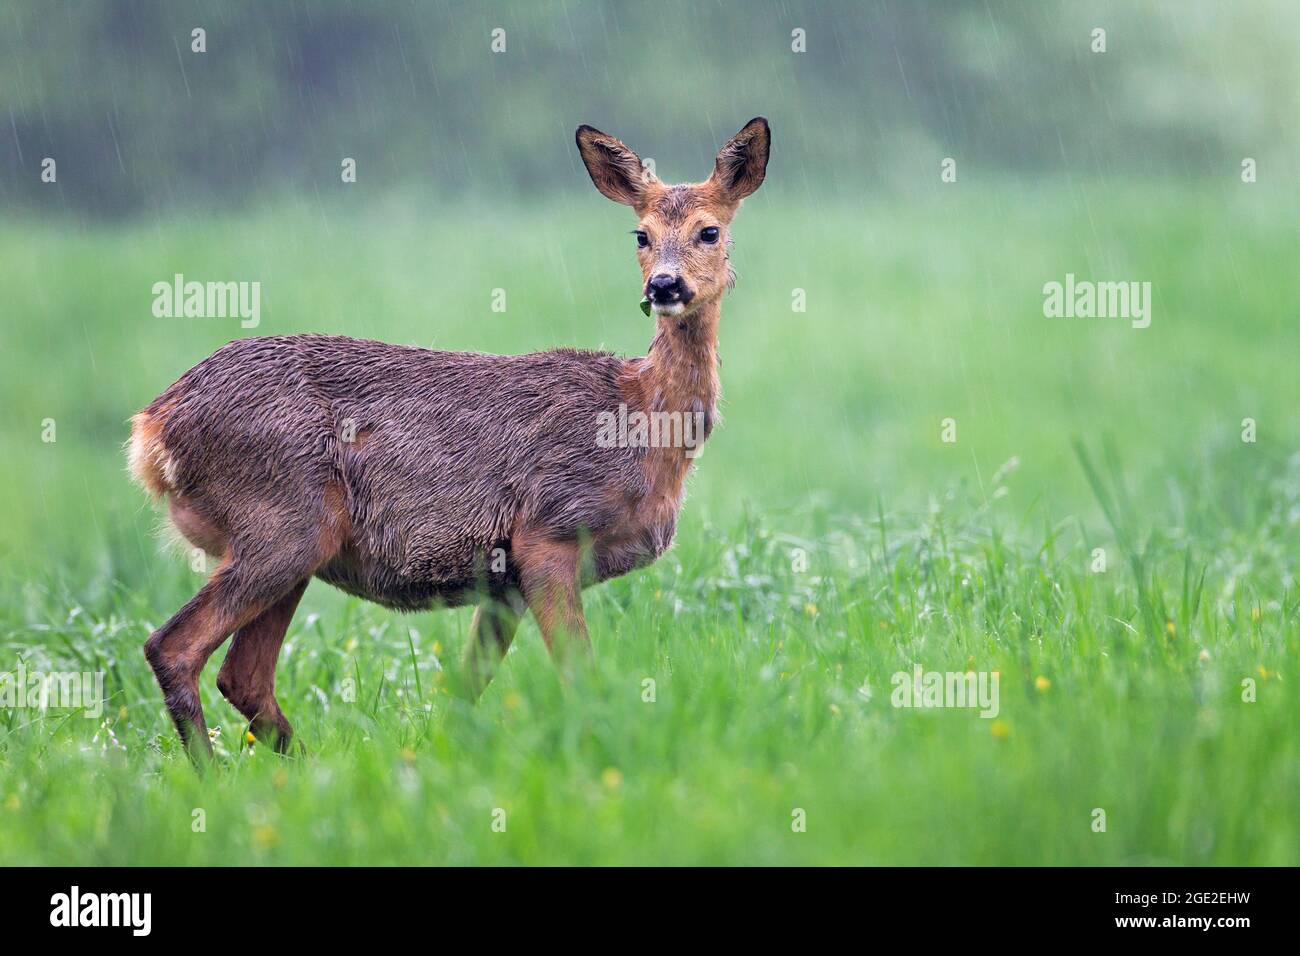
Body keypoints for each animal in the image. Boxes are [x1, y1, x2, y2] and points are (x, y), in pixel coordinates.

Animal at [128, 118, 770, 762]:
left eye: (710, 231)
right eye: (641, 233)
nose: (664, 285)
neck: (641, 419)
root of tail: (153, 427)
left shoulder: (503, 583)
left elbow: (465, 693)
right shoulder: (549, 530)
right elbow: (579, 674)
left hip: (289, 544)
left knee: (243, 675)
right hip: (283, 523)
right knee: (174, 647)